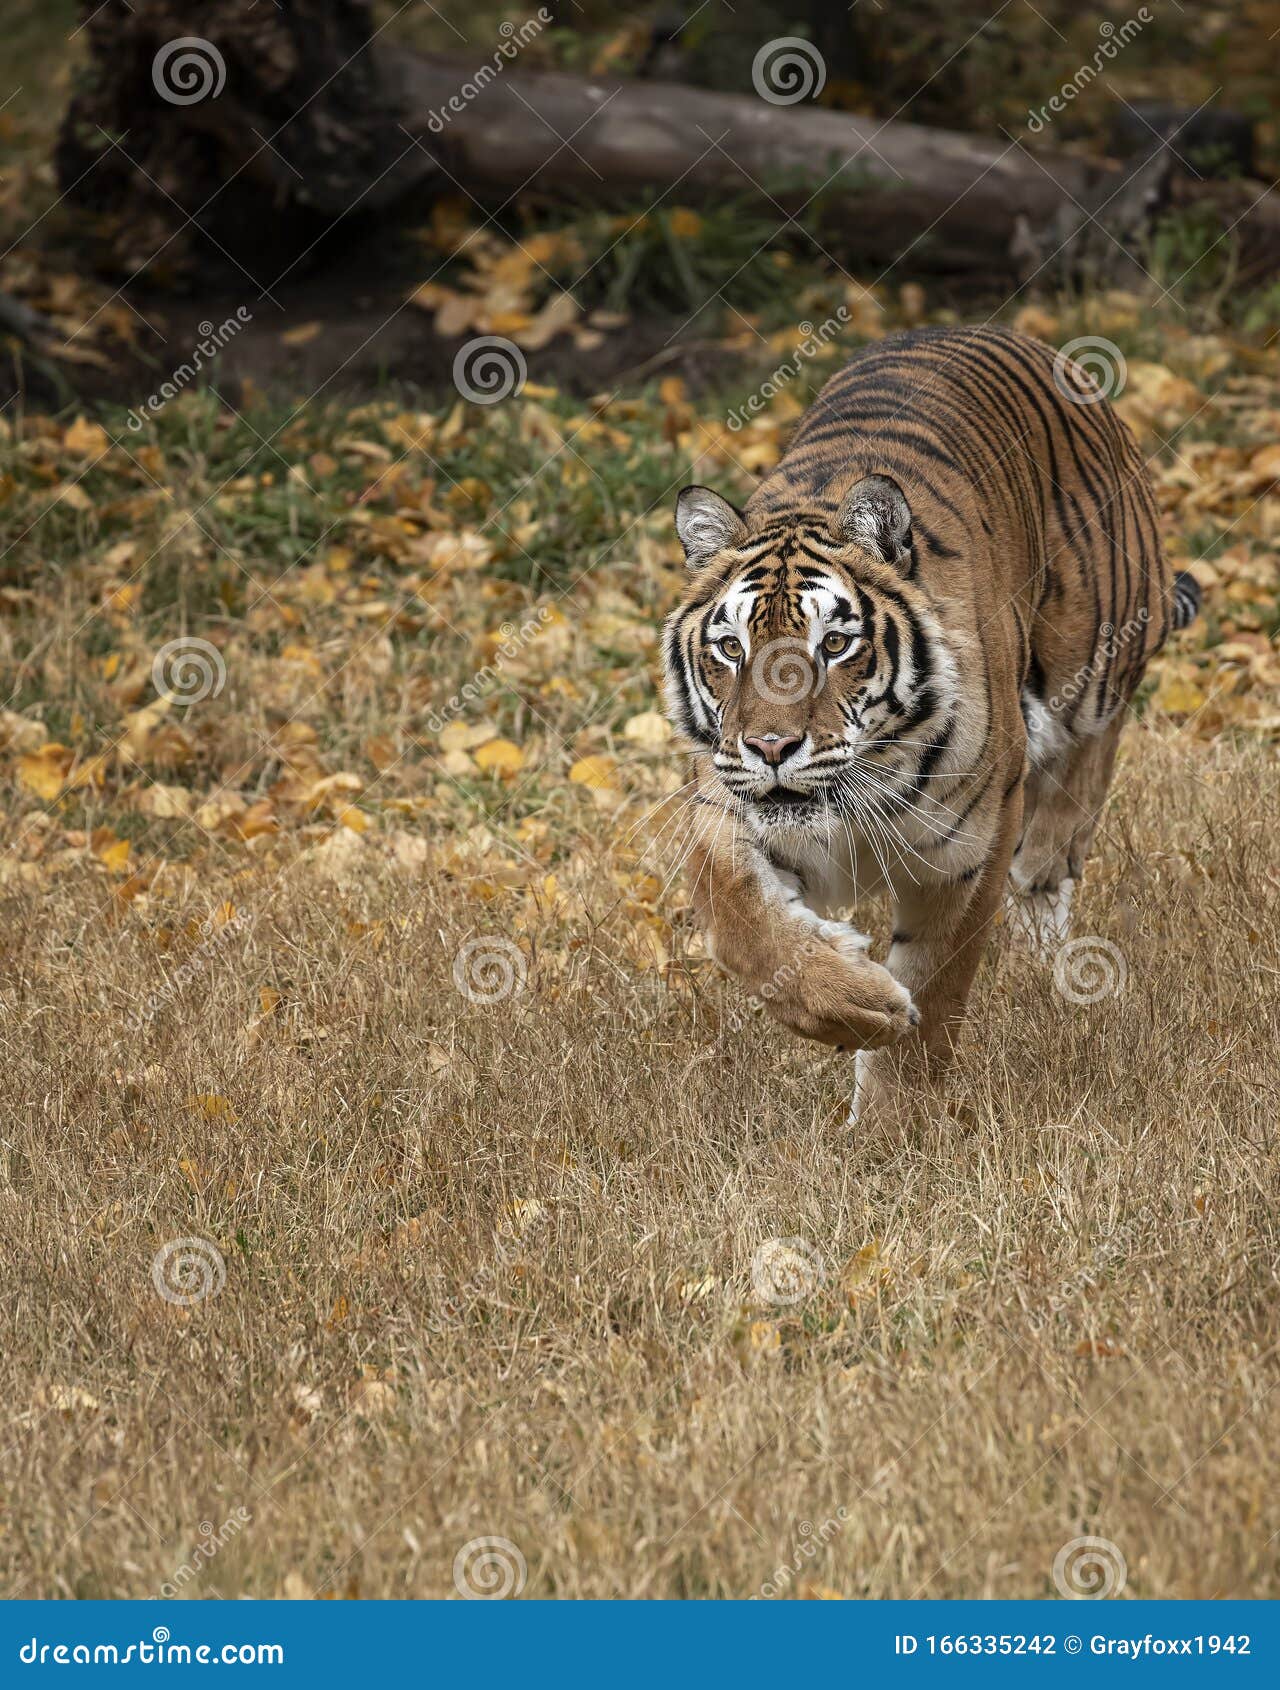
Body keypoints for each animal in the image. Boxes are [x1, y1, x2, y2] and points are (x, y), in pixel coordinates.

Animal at [661, 324, 1200, 1123]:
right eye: (732, 648)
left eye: (834, 644)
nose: (770, 748)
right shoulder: (720, 812)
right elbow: (744, 927)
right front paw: (856, 1003)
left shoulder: (969, 849)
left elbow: (937, 987)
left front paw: (892, 1124)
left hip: (1095, 663)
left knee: (1070, 809)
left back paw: (1048, 955)